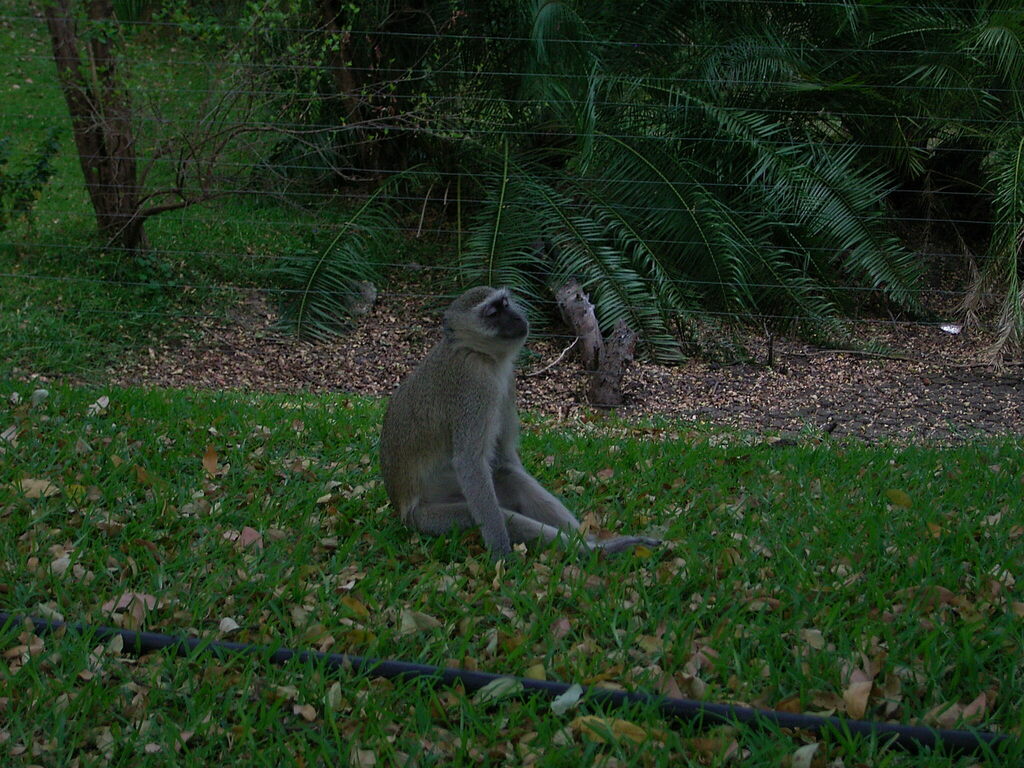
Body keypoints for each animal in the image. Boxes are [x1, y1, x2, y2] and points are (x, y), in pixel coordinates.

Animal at [380, 286, 661, 560]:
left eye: (505, 304)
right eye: (493, 312)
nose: (517, 316)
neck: (479, 354)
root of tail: (401, 509)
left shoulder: (505, 383)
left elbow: (503, 458)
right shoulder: (475, 386)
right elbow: (470, 463)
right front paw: (501, 555)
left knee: (510, 477)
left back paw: (598, 546)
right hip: (430, 518)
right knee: (492, 514)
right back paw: (591, 552)